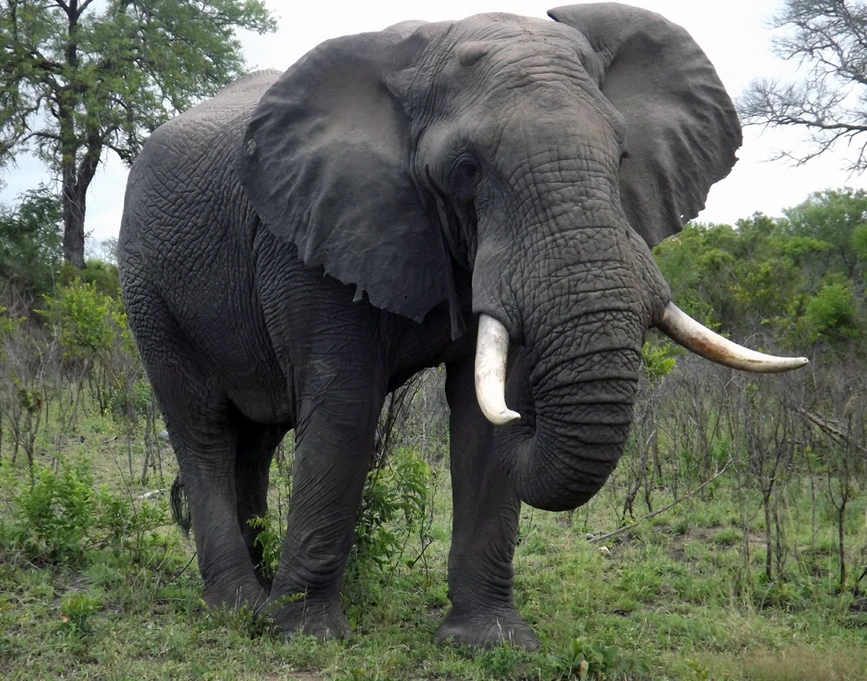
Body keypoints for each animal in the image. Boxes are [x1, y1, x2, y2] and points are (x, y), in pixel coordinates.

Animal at [118, 2, 807, 649]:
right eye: (467, 168)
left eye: (622, 155)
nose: (529, 422)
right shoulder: (312, 234)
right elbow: (344, 409)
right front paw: (304, 634)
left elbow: (479, 420)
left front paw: (488, 642)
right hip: (147, 287)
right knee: (203, 427)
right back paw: (237, 607)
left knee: (256, 438)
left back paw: (258, 593)